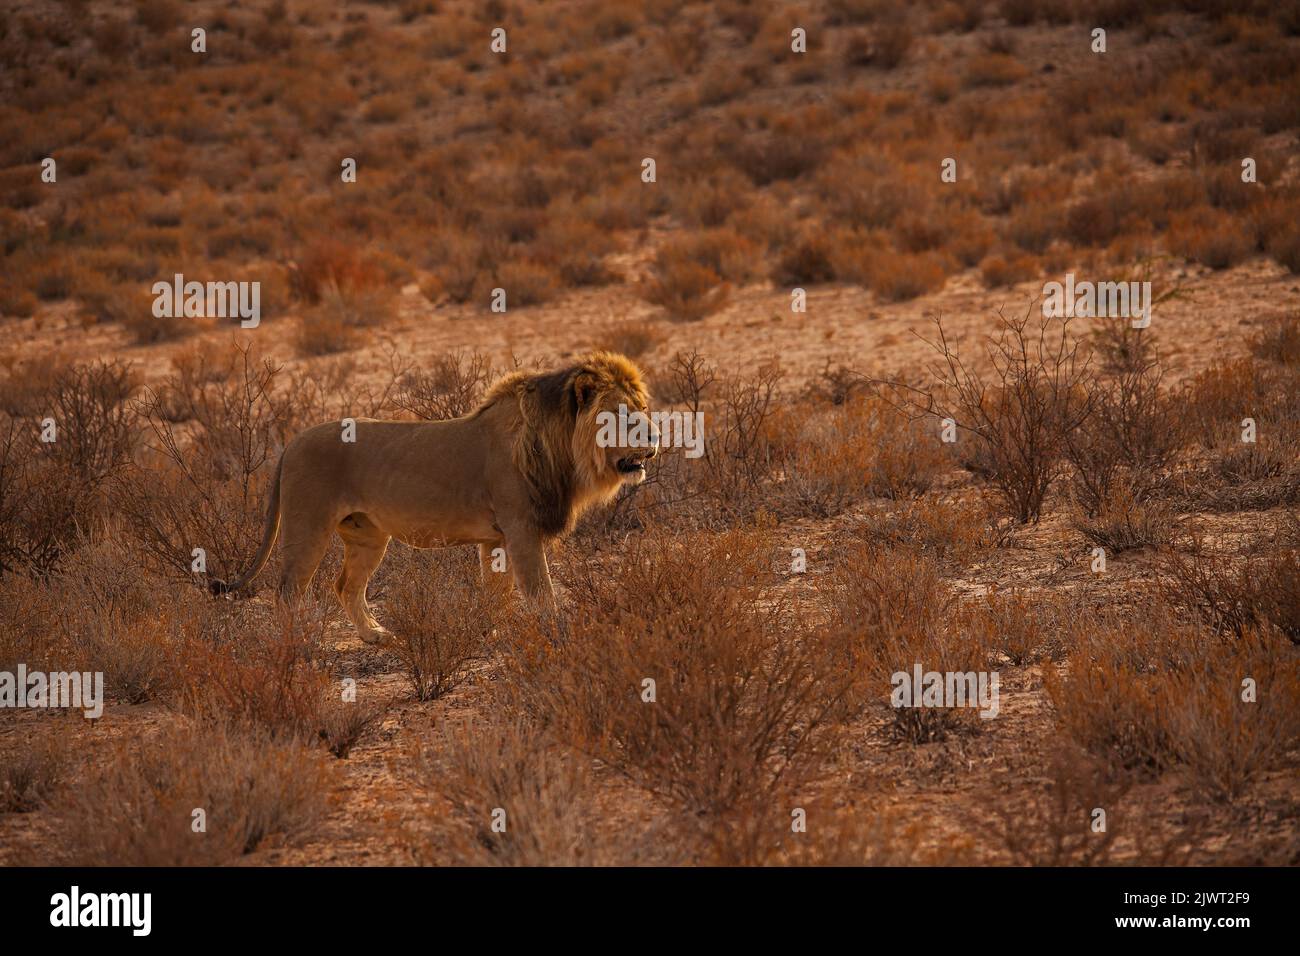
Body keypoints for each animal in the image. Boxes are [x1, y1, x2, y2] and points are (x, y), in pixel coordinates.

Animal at [208, 351, 658, 642]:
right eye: (622, 414)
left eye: (642, 406)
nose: (655, 436)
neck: (561, 448)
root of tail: (291, 443)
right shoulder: (521, 529)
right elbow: (540, 590)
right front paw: (557, 632)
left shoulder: (496, 539)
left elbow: (497, 593)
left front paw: (491, 632)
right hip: (308, 529)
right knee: (287, 592)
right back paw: (295, 647)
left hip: (368, 535)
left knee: (345, 586)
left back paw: (375, 635)